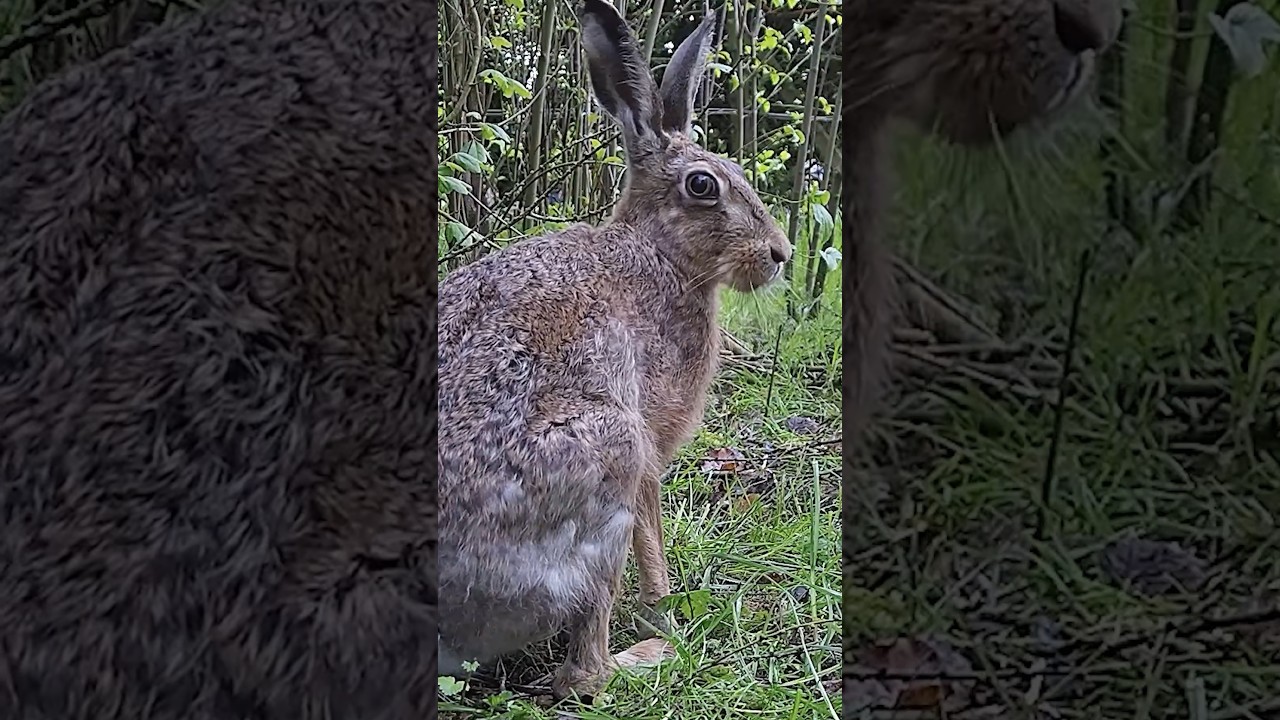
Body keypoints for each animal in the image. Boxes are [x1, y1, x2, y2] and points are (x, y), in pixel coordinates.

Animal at [437, 0, 792, 700]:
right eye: (704, 186)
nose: (780, 254)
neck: (663, 254)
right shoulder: (650, 444)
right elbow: (653, 528)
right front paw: (663, 606)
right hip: (606, 459)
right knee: (582, 674)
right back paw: (643, 654)